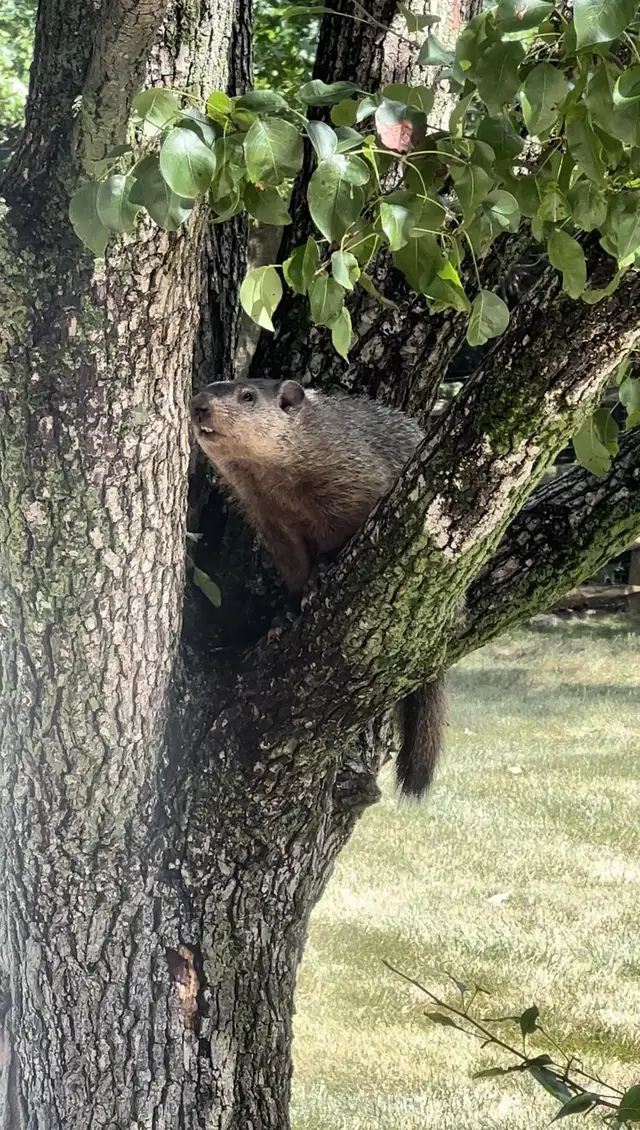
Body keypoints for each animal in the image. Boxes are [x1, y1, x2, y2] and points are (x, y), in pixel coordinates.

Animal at [190, 377, 446, 798]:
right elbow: (290, 556)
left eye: (248, 396)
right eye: (206, 387)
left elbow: (357, 511)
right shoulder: (267, 514)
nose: (197, 405)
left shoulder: (346, 469)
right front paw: (287, 611)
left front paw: (323, 569)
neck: (271, 477)